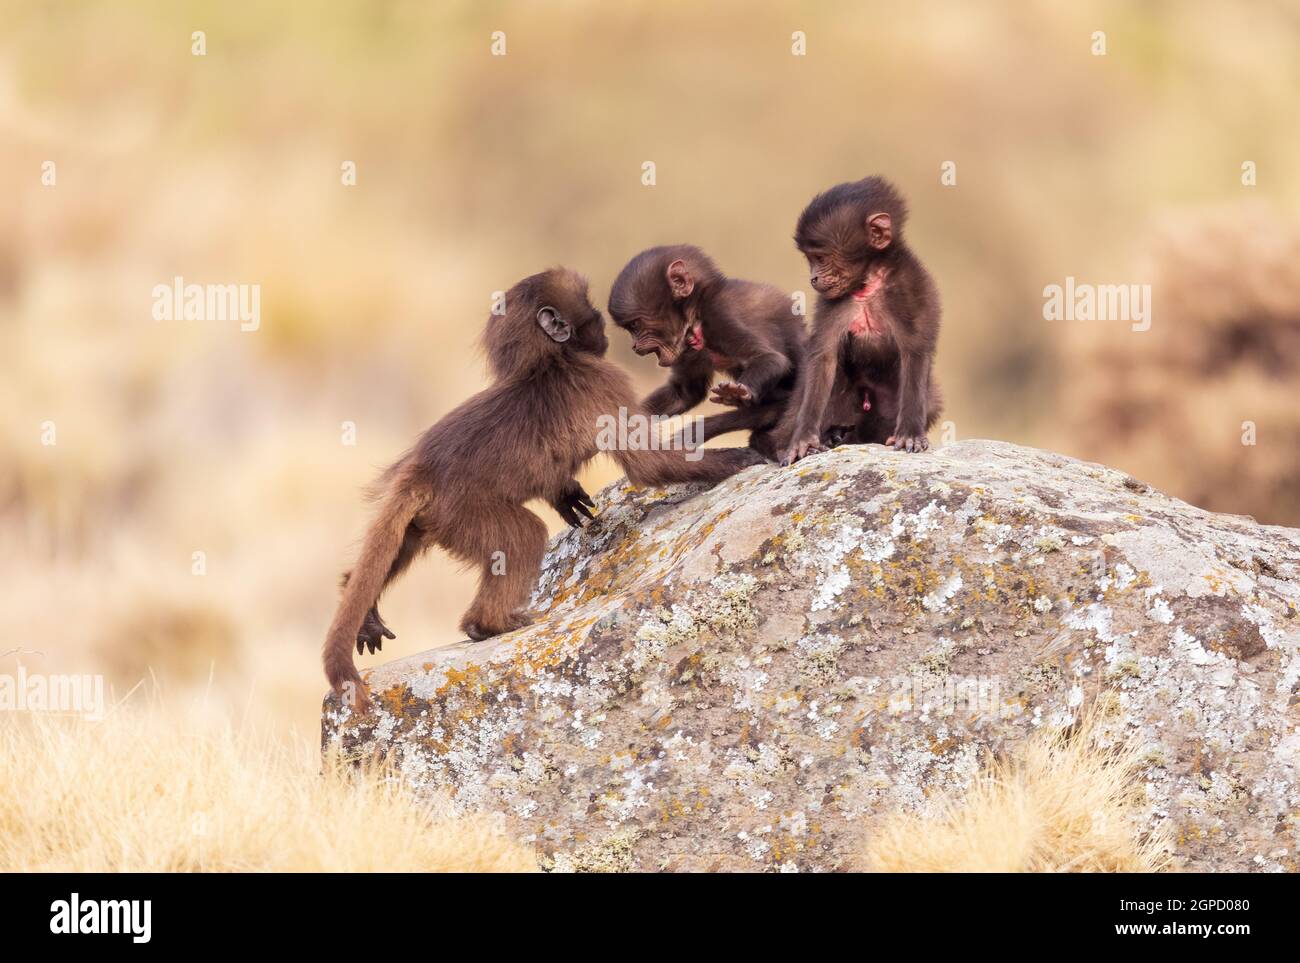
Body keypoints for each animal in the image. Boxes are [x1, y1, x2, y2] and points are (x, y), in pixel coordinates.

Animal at [323, 268, 764, 713]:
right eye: (593, 313)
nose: (607, 334)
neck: (546, 360)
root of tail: (422, 471)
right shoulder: (602, 381)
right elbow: (649, 463)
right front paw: (742, 457)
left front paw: (566, 495)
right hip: (463, 512)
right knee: (522, 537)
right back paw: (488, 624)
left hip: (427, 517)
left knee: (399, 543)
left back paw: (360, 601)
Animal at [607, 245, 807, 460]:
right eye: (630, 328)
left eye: (635, 325)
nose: (634, 346)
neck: (697, 310)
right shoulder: (688, 349)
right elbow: (684, 393)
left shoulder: (720, 314)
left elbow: (771, 359)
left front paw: (735, 393)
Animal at [775, 176, 943, 465]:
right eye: (810, 258)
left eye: (820, 257)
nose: (813, 278)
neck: (868, 282)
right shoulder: (831, 302)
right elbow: (824, 359)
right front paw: (803, 440)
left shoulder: (912, 287)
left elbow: (915, 352)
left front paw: (910, 433)